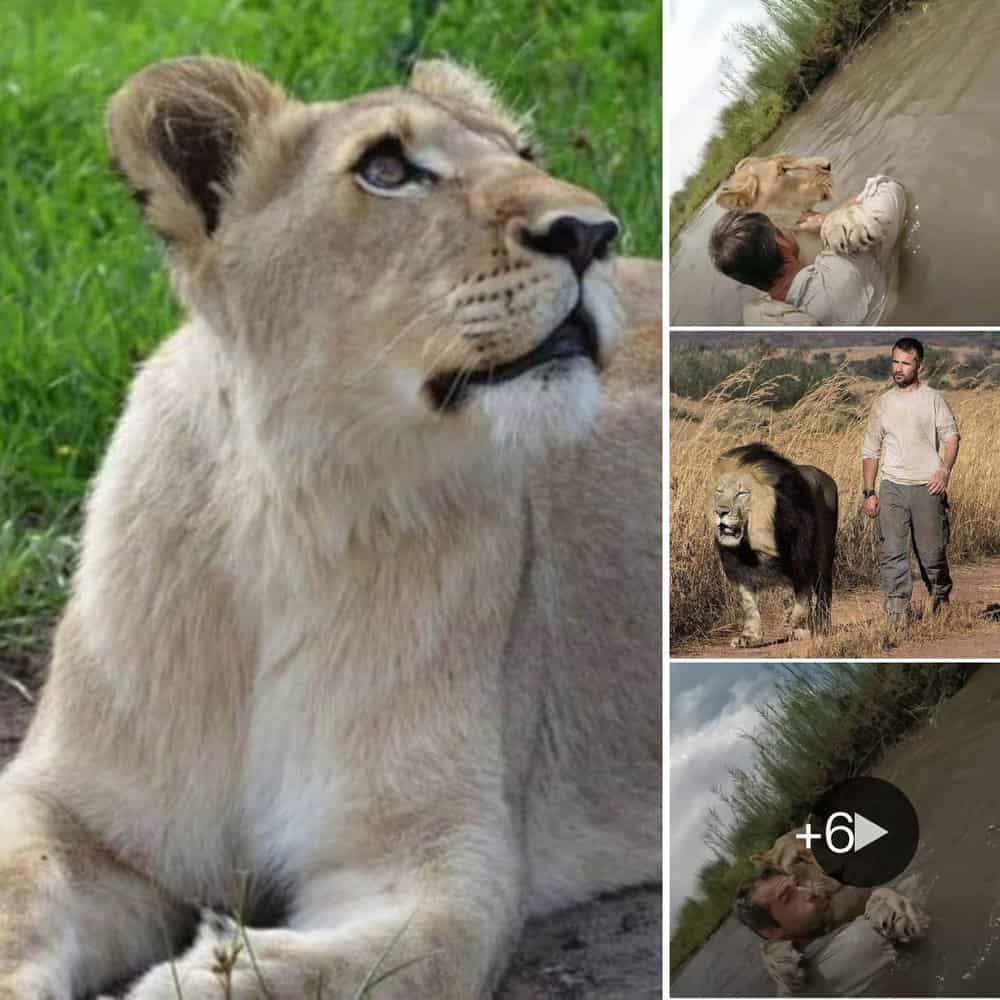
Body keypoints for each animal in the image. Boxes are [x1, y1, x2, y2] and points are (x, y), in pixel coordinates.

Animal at [0, 57, 660, 1000]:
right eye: (386, 168)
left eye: (525, 154)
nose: (592, 233)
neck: (291, 520)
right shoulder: (75, 811)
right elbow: (18, 902)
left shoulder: (436, 861)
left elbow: (338, 969)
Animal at [713, 443, 838, 647]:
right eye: (719, 492)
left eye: (741, 493)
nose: (720, 511)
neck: (753, 545)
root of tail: (827, 477)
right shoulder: (741, 569)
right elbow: (749, 604)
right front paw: (750, 637)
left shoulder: (801, 561)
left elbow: (802, 600)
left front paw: (797, 626)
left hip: (824, 551)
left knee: (824, 587)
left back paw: (821, 625)